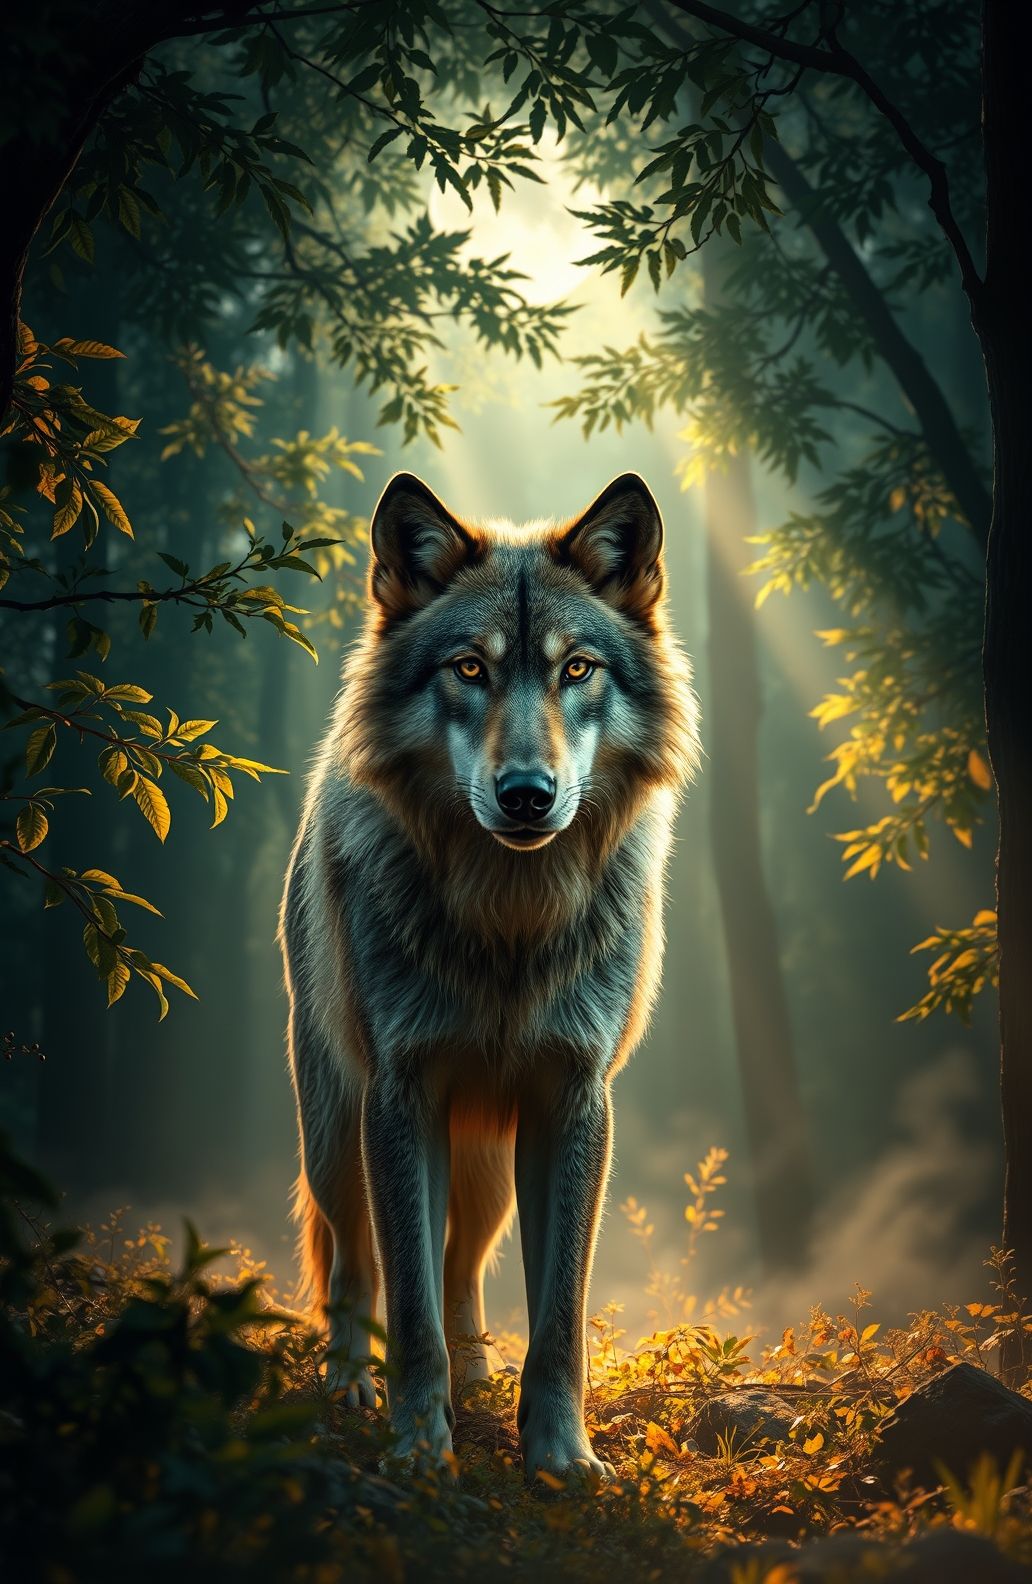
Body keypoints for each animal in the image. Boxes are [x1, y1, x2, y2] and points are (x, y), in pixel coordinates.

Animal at [279, 471, 699, 1481]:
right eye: (469, 669)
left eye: (576, 670)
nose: (527, 796)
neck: (510, 920)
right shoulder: (400, 1095)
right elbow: (408, 1306)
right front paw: (418, 1449)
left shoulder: (573, 1101)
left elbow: (560, 1319)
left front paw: (560, 1456)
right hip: (336, 1131)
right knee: (354, 1260)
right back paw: (350, 1381)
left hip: (487, 1169)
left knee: (463, 1268)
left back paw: (474, 1379)